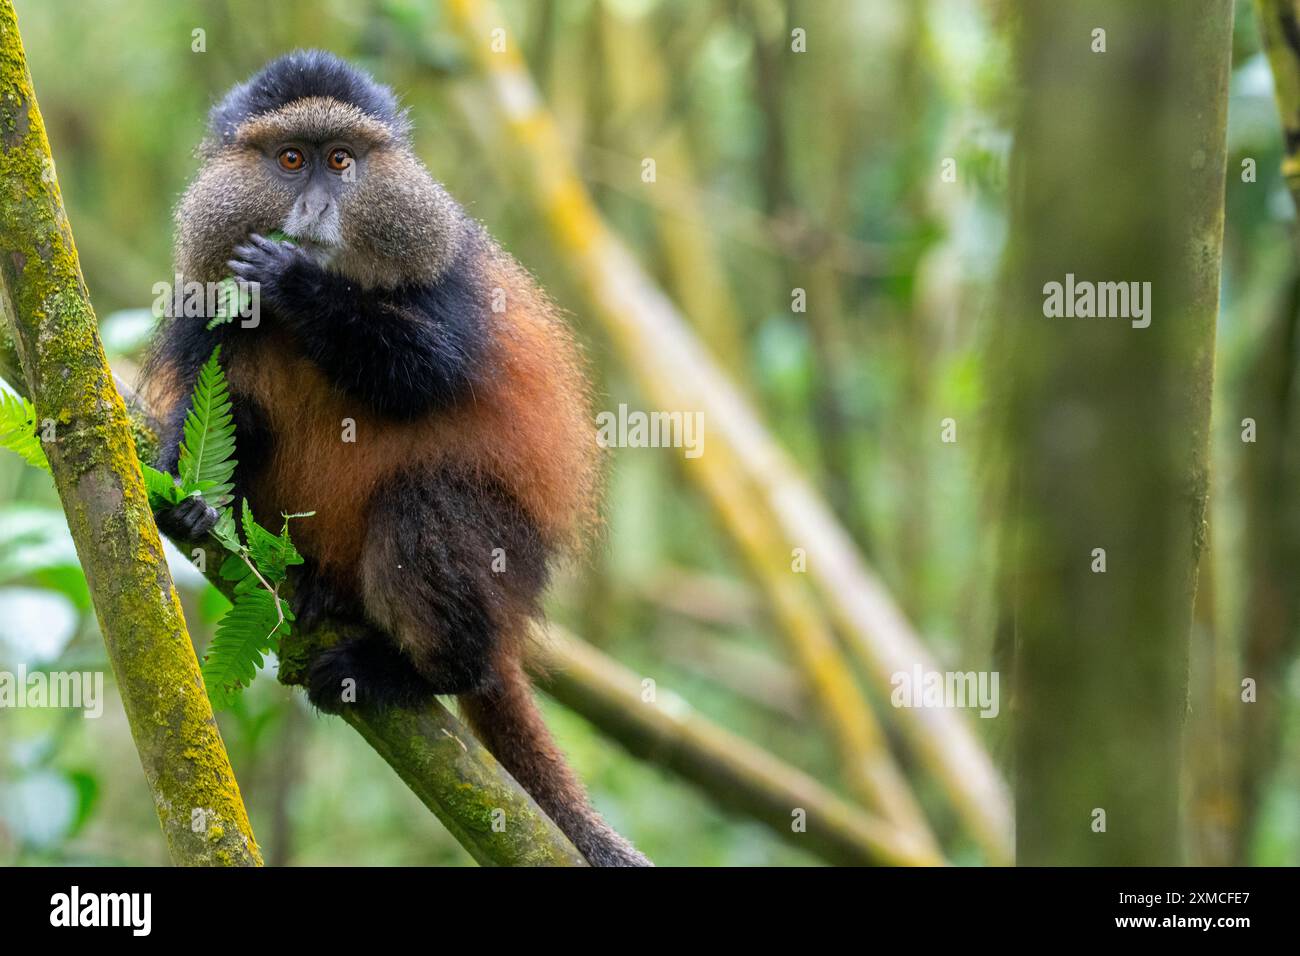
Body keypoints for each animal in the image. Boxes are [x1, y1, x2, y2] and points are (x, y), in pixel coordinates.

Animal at [142, 50, 649, 867]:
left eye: (342, 161)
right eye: (292, 160)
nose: (316, 209)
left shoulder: (448, 280)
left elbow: (426, 373)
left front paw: (297, 282)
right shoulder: (204, 306)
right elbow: (221, 414)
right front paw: (194, 505)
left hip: (496, 562)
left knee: (429, 502)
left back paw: (408, 670)